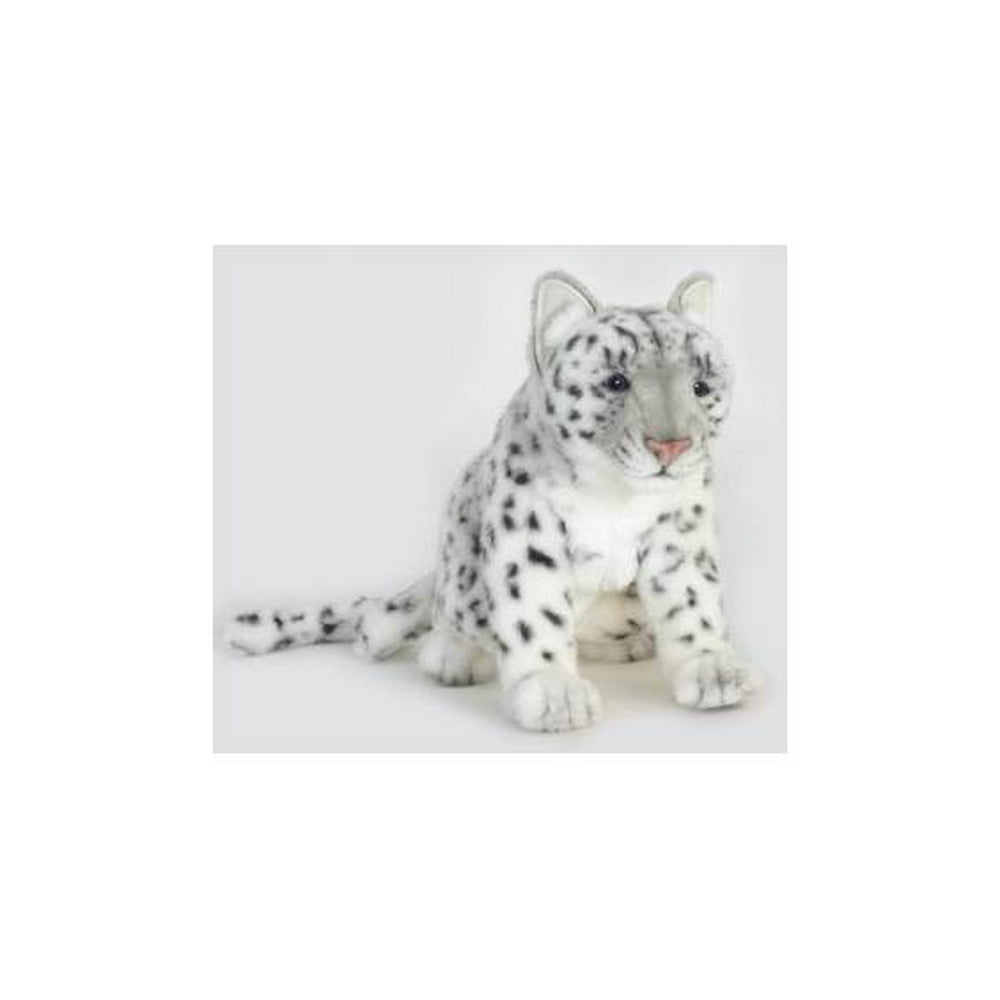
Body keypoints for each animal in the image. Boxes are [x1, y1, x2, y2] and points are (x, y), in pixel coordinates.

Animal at [224, 270, 759, 732]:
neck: (616, 494)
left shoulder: (680, 535)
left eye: (700, 386)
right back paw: (451, 656)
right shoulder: (529, 532)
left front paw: (714, 671)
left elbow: (693, 602)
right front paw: (554, 694)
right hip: (466, 591)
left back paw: (631, 644)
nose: (672, 446)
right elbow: (535, 615)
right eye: (616, 382)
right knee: (444, 617)